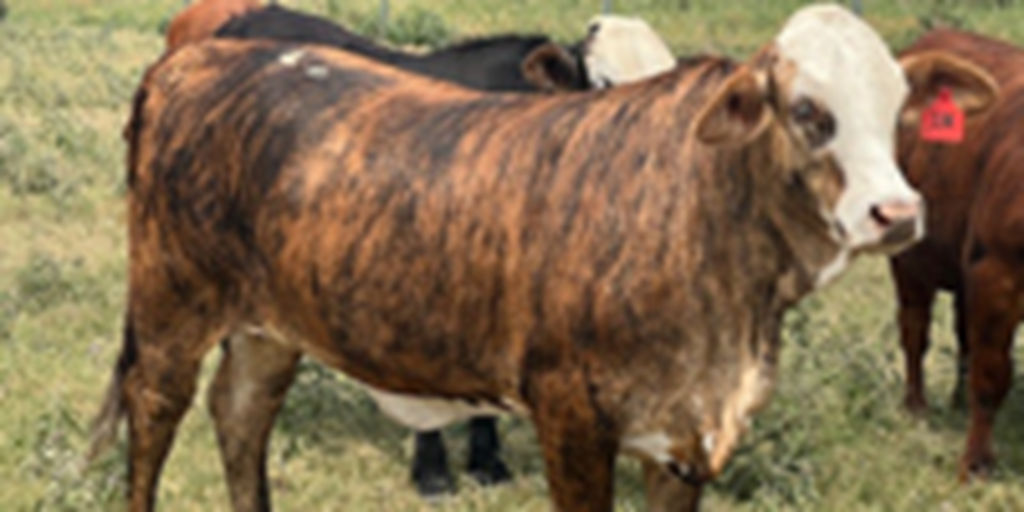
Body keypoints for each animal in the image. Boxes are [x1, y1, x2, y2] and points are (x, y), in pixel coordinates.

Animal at [89, 5, 992, 511]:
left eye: (901, 108)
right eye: (807, 110)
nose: (897, 213)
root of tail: (194, 58)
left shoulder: (688, 437)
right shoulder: (573, 420)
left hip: (269, 328)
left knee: (240, 418)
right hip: (170, 309)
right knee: (154, 417)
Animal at [888, 28, 1009, 481]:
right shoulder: (997, 271)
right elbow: (991, 376)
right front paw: (975, 463)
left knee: (962, 336)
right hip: (909, 261)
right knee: (915, 330)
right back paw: (916, 405)